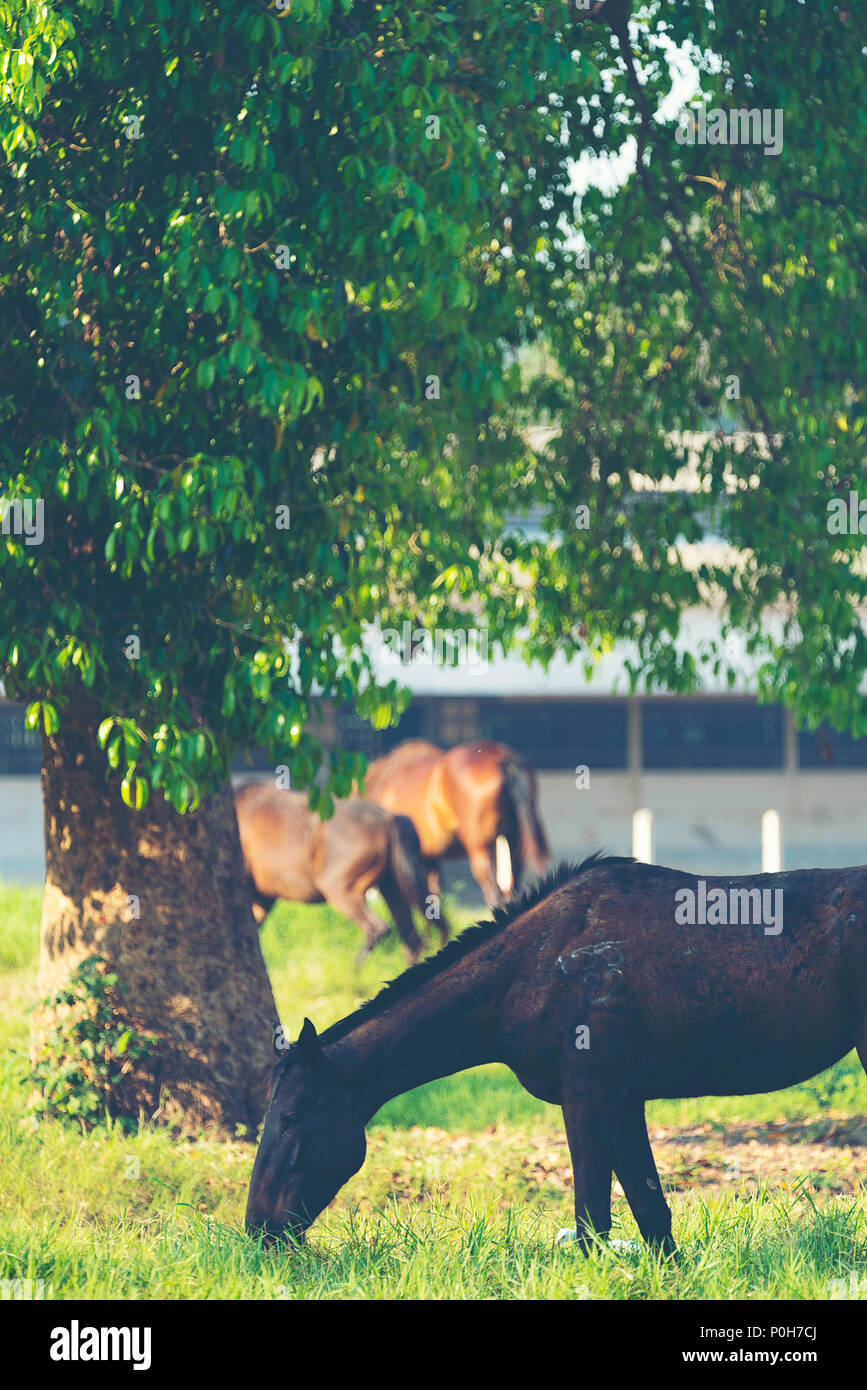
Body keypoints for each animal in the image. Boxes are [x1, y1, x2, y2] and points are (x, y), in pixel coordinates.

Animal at [234, 782, 441, 965]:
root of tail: (388, 819)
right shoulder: (262, 899)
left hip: (340, 890)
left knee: (377, 929)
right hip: (391, 888)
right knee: (411, 940)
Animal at [245, 852, 867, 1253]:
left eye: (291, 1116)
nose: (258, 1228)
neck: (537, 966)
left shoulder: (587, 1097)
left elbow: (593, 1222)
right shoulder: (622, 1100)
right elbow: (651, 1216)